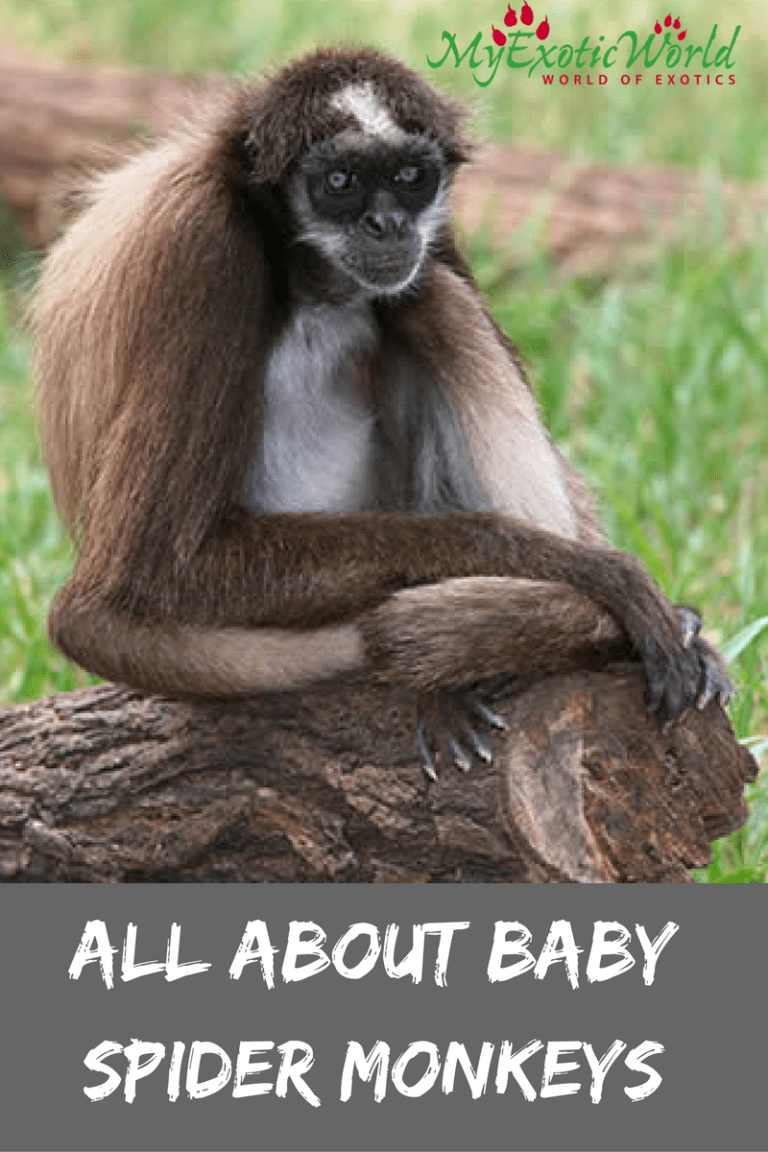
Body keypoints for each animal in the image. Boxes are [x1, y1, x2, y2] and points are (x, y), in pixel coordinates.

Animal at [30, 46, 731, 779]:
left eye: (409, 178)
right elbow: (152, 573)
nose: (387, 223)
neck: (310, 281)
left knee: (425, 298)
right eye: (340, 182)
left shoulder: (430, 235)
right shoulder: (207, 247)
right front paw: (587, 571)